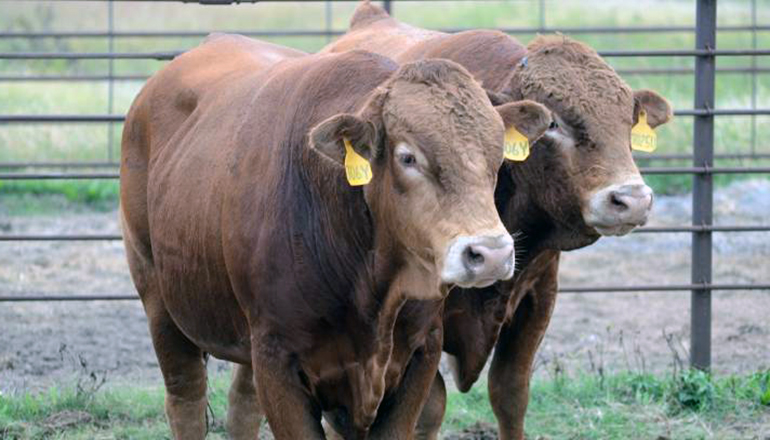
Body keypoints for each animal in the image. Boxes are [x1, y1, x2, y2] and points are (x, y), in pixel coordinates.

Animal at [120, 33, 552, 439]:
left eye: (497, 153)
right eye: (408, 157)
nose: (490, 254)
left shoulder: (421, 352)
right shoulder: (278, 359)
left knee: (242, 403)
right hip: (159, 301)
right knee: (186, 399)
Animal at [322, 3, 673, 439]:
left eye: (628, 120)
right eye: (554, 123)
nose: (632, 199)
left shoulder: (538, 297)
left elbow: (510, 392)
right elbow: (430, 407)